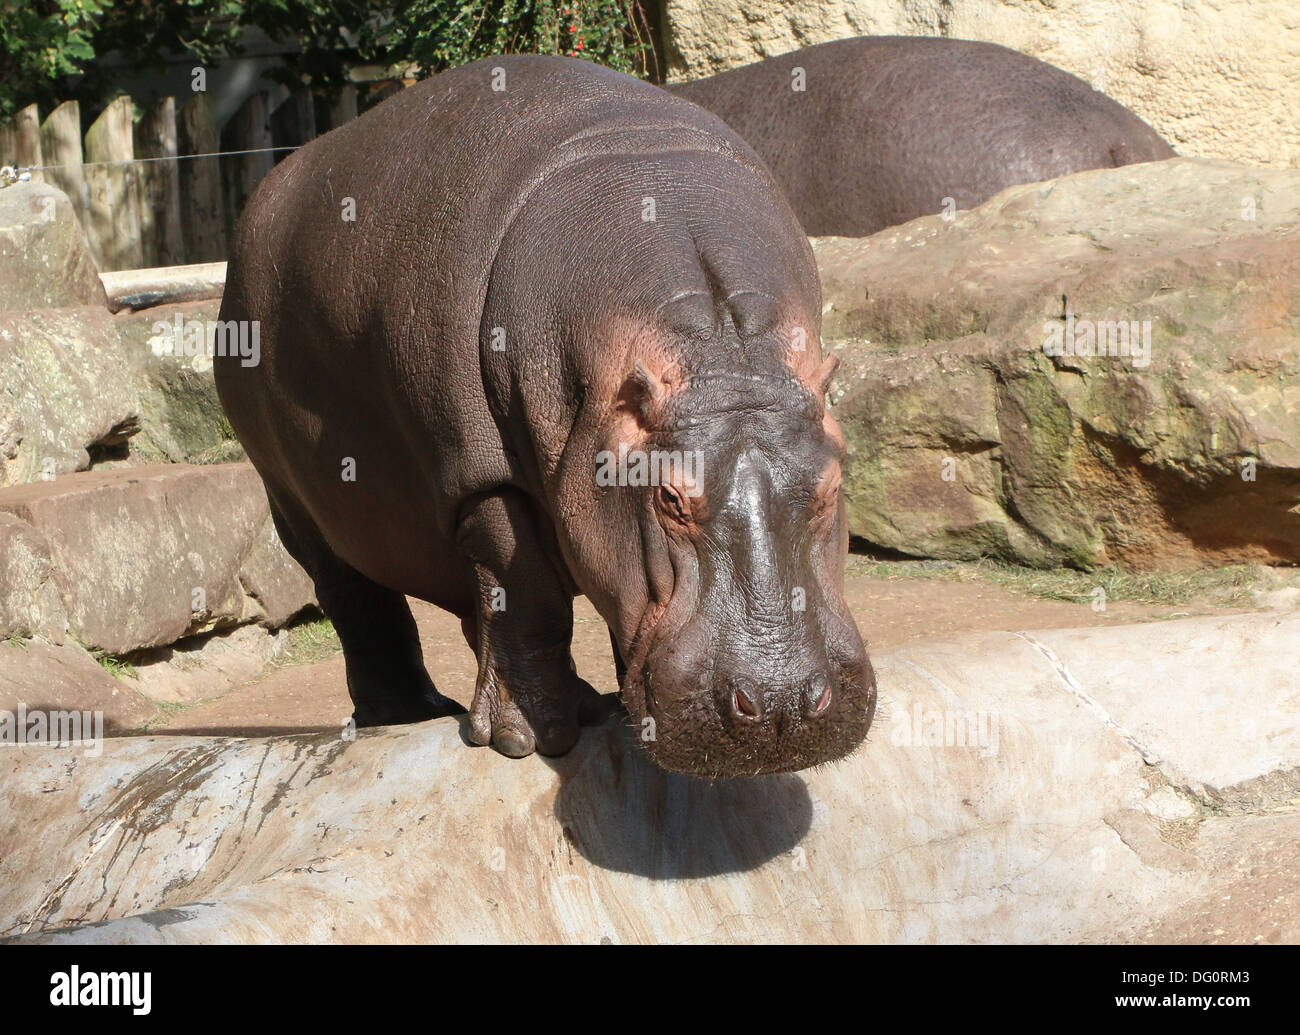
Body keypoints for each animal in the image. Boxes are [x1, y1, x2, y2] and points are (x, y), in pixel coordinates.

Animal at [214, 55, 875, 778]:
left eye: (832, 489)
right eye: (669, 498)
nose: (781, 703)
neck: (719, 354)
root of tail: (267, 191)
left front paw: (607, 711)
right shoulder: (482, 478)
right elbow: (526, 596)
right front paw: (526, 741)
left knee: (472, 608)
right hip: (293, 500)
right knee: (361, 603)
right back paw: (411, 714)